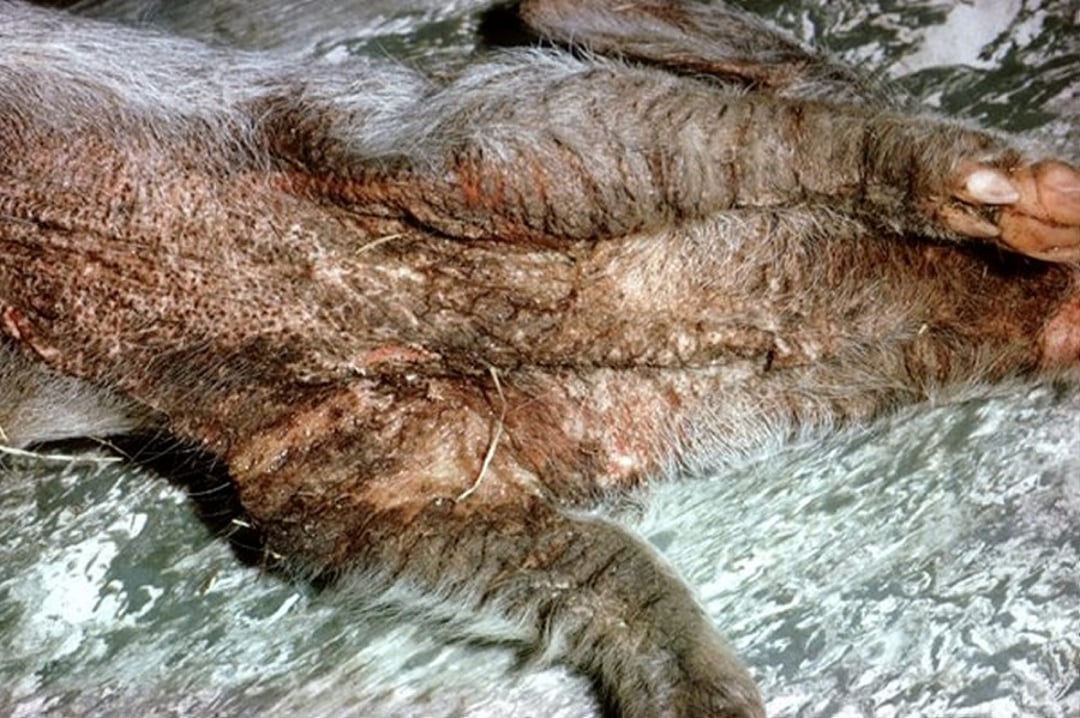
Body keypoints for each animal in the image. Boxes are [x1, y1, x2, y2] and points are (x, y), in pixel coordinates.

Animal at [1, 1, 1078, 716]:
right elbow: (608, 576)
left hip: (505, 156)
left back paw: (1036, 200)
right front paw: (701, 696)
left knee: (799, 126)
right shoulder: (359, 496)